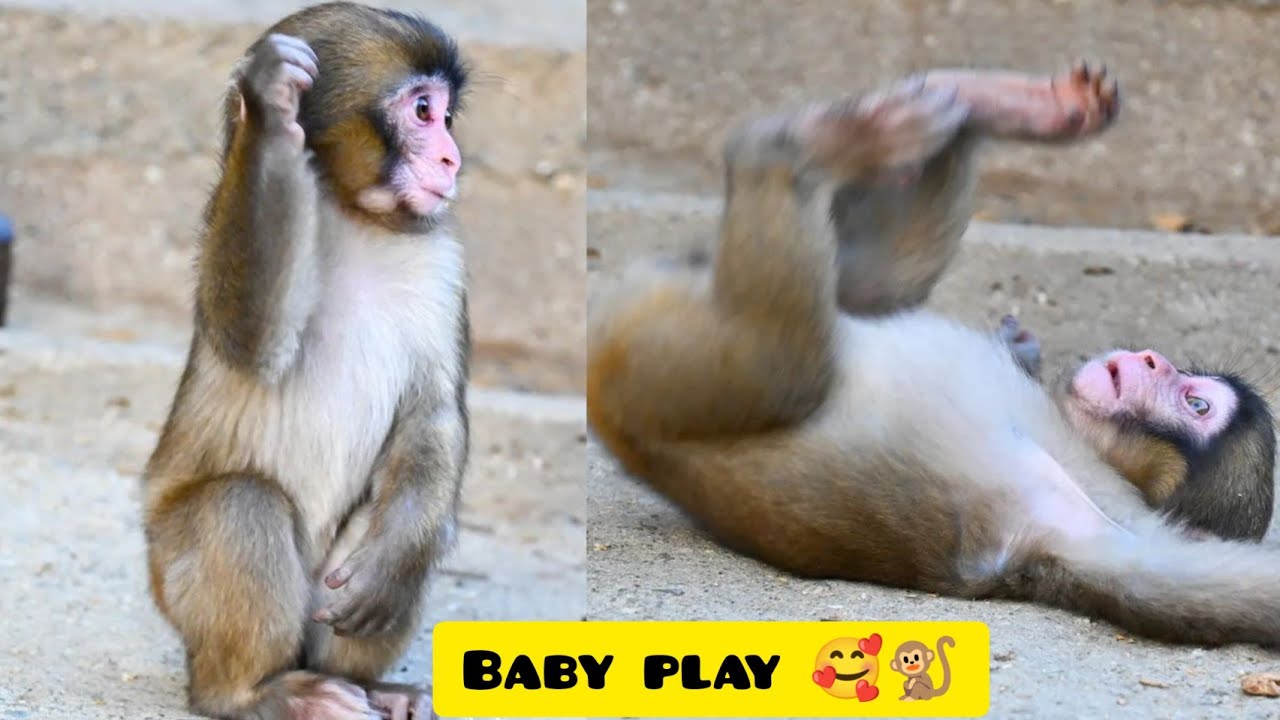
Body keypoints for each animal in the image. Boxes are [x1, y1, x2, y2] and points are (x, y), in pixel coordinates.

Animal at [142, 4, 470, 718]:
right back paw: (248, 694)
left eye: (447, 115)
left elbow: (433, 415)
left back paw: (371, 684)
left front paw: (395, 563)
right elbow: (253, 338)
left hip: (328, 598)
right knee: (240, 503)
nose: (452, 157)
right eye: (422, 110)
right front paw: (269, 109)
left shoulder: (444, 262)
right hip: (174, 588)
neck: (353, 215)